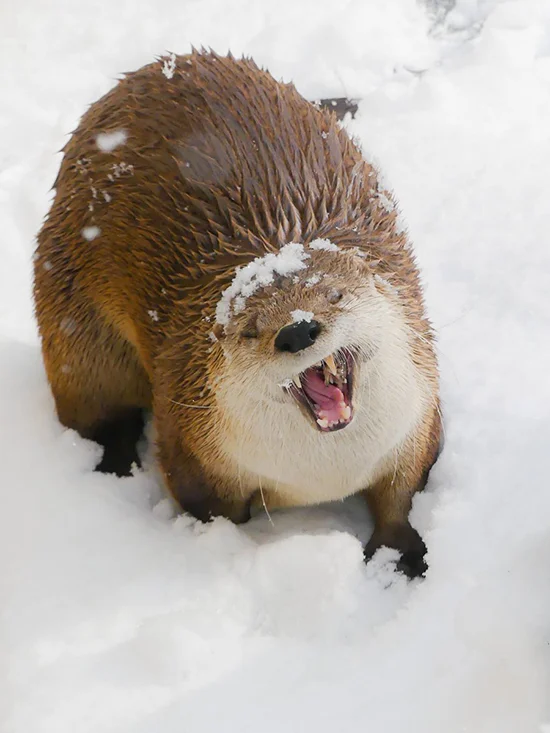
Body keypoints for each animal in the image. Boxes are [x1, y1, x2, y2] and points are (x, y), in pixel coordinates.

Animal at [33, 50, 441, 578]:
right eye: (253, 330)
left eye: (334, 296)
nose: (297, 330)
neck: (329, 470)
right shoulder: (194, 447)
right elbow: (207, 505)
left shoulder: (417, 423)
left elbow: (402, 493)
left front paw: (400, 555)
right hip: (75, 325)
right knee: (94, 409)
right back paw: (111, 465)